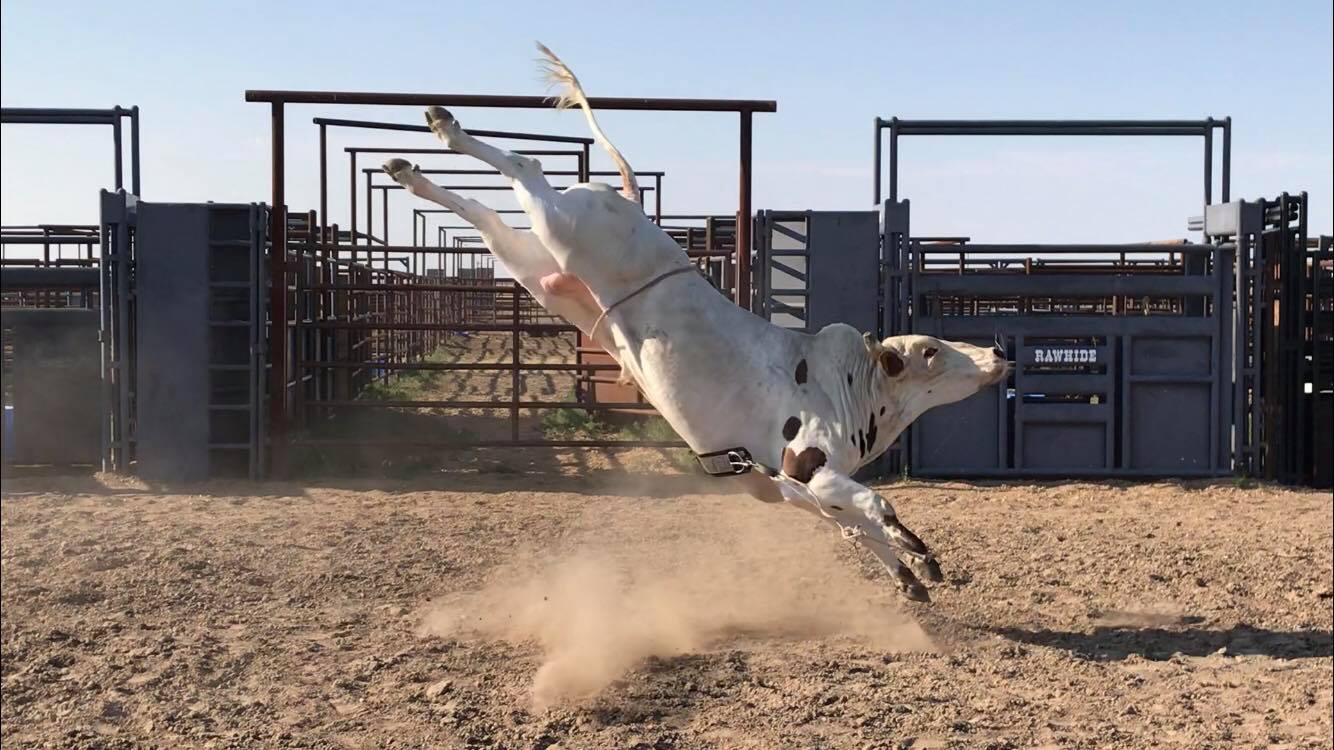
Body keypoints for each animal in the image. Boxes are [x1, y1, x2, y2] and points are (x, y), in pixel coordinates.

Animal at [383, 45, 1009, 602]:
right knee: (526, 168)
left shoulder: (794, 490)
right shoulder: (809, 470)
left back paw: (411, 169)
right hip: (564, 222)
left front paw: (911, 574)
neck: (849, 389)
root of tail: (632, 202)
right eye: (930, 349)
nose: (999, 354)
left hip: (540, 267)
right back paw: (443, 127)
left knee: (487, 215)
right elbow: (879, 508)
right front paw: (920, 552)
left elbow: (858, 527)